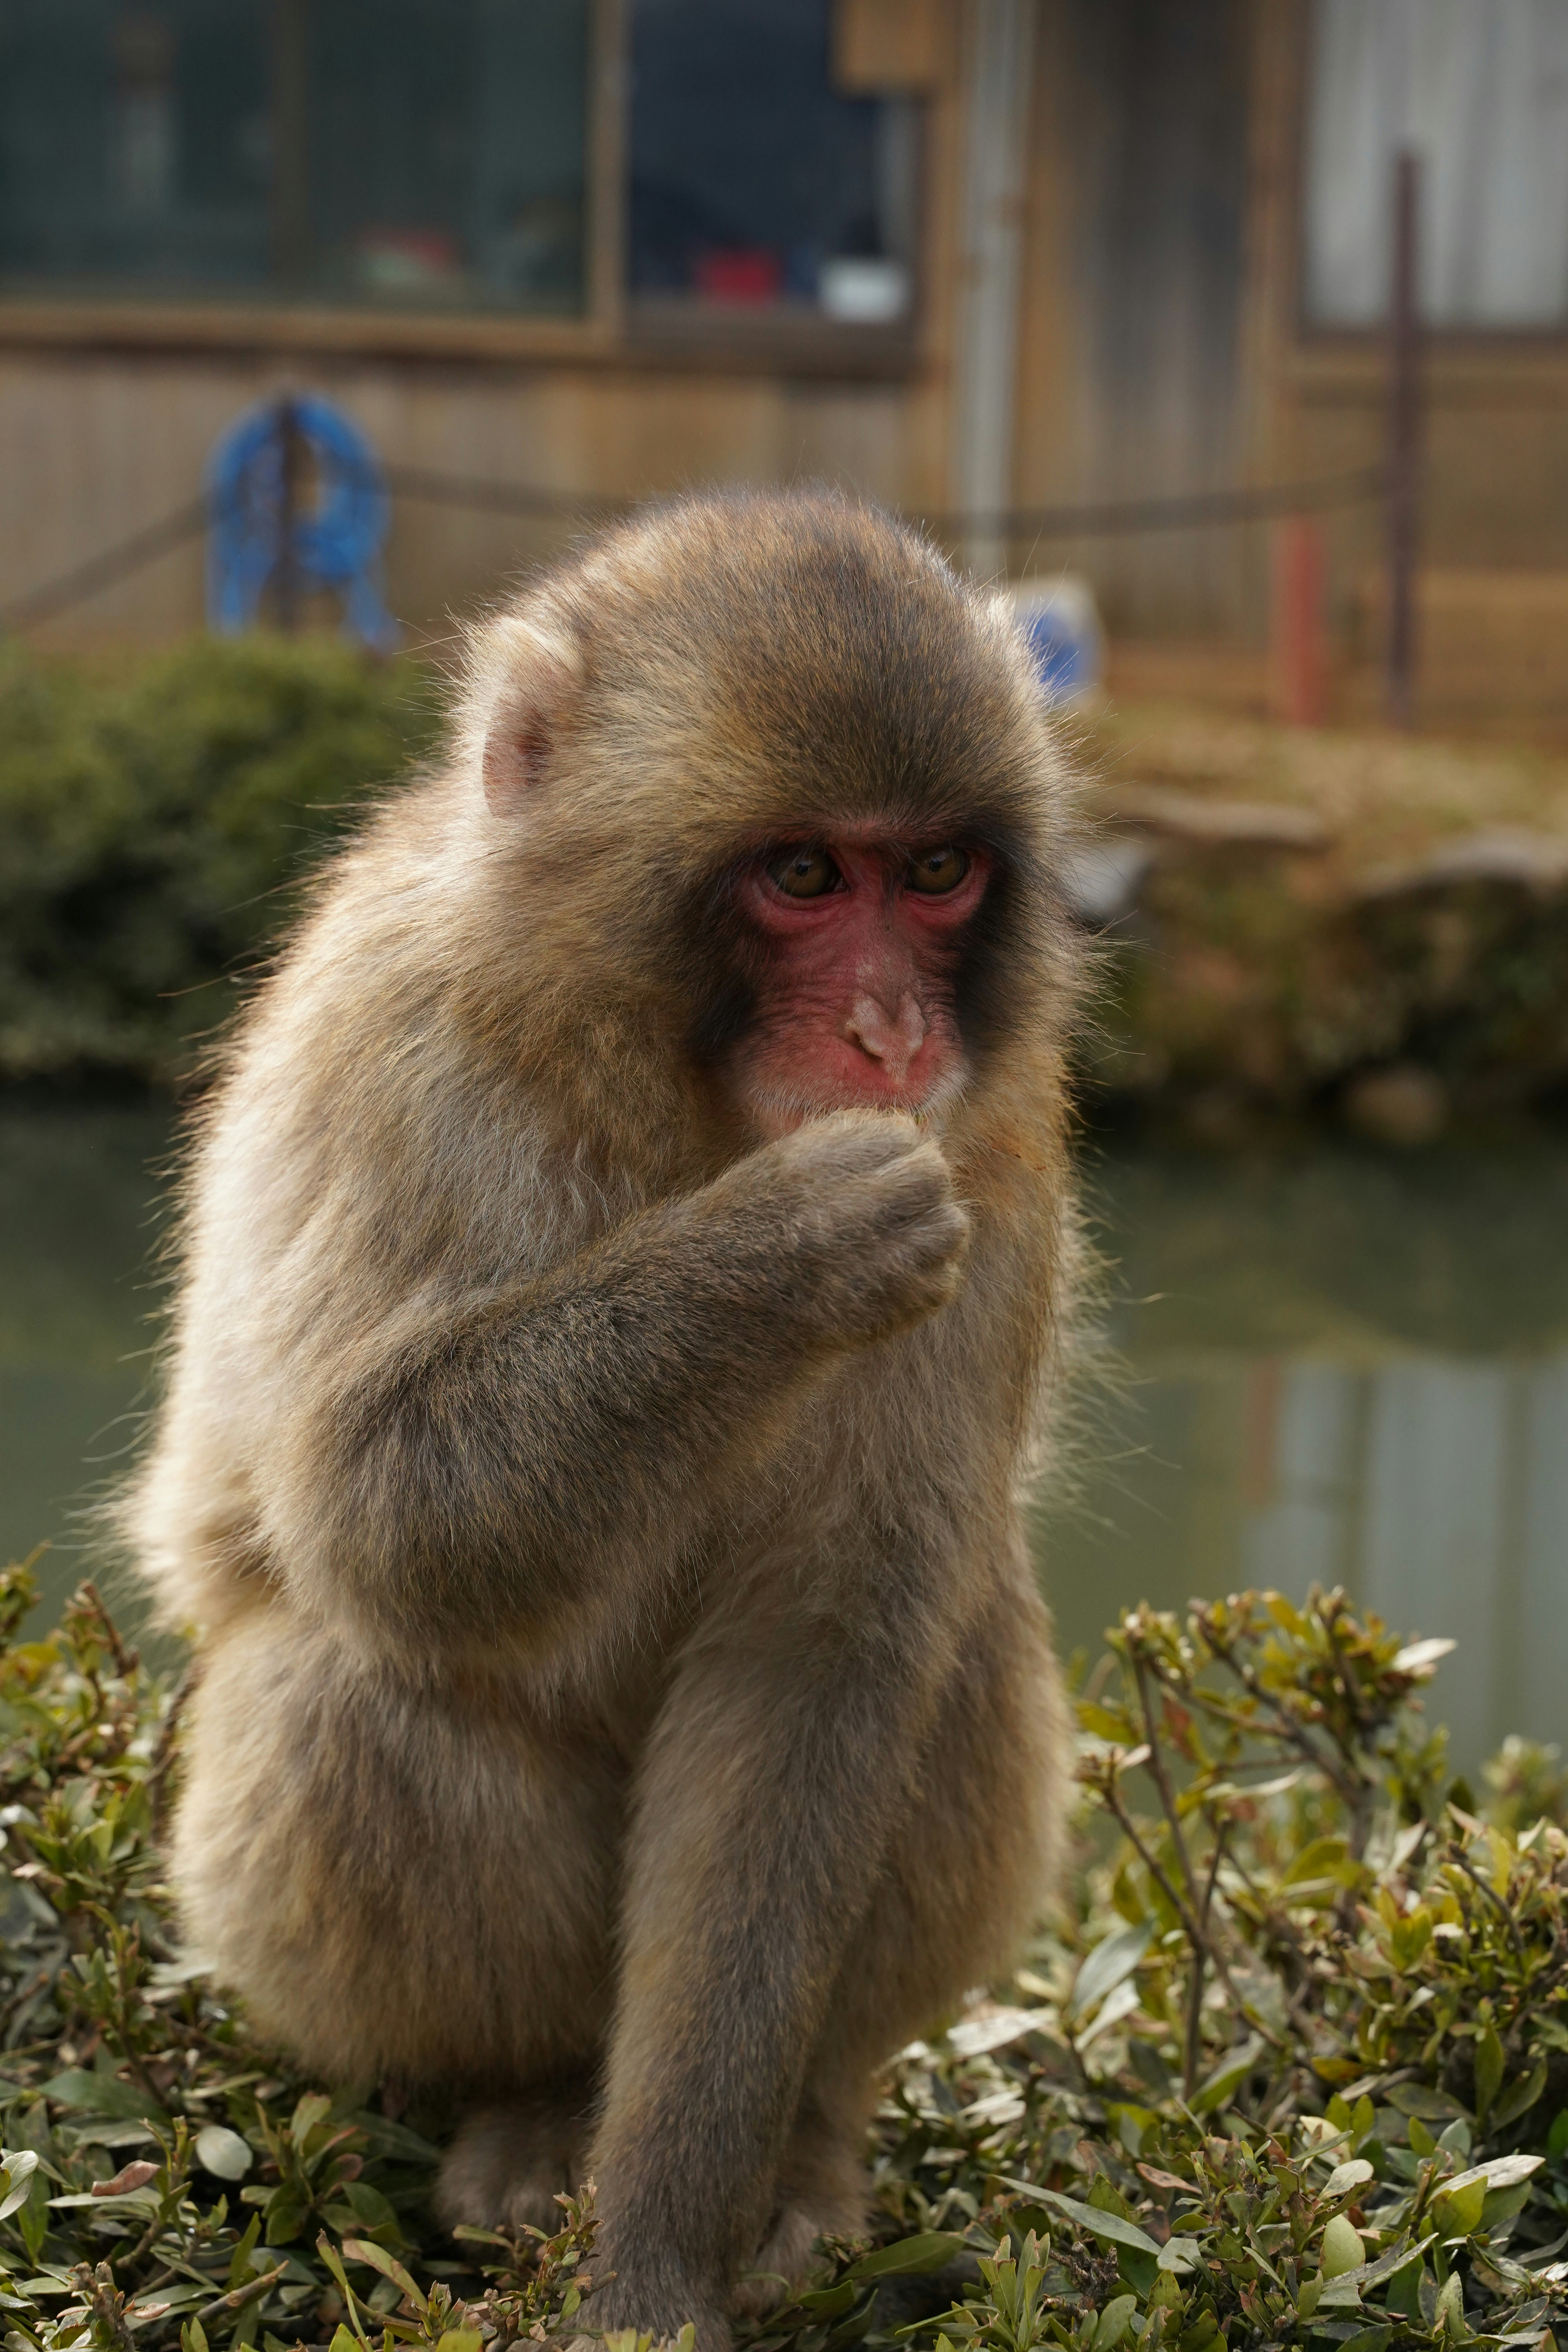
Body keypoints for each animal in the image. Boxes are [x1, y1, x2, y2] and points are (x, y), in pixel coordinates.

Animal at [128, 488, 1085, 2351]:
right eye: (806, 875)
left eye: (934, 872)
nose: (890, 1029)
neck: (682, 1088)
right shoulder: (398, 1051)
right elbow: (367, 1506)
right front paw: (781, 1251)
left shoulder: (996, 1148)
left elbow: (818, 1654)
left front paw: (659, 2245)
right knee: (348, 1690)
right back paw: (516, 2102)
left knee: (953, 1645)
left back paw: (799, 2143)